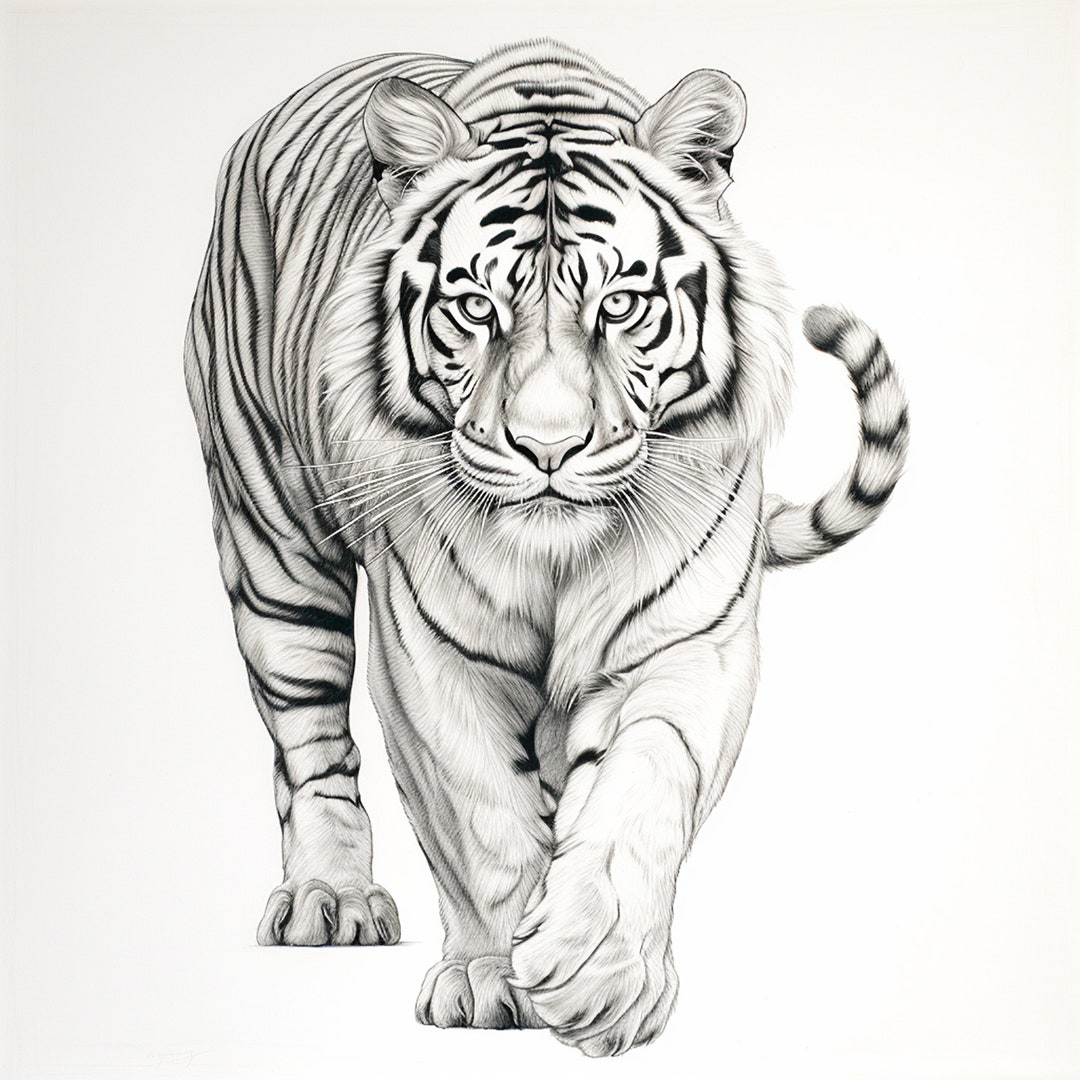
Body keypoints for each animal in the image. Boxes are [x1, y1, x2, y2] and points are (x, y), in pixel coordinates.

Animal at [184, 39, 908, 1056]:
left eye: (622, 304)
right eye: (476, 307)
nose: (548, 447)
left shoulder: (689, 643)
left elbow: (643, 787)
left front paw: (600, 971)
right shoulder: (429, 654)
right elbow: (480, 813)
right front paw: (493, 977)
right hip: (272, 547)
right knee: (311, 738)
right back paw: (330, 897)